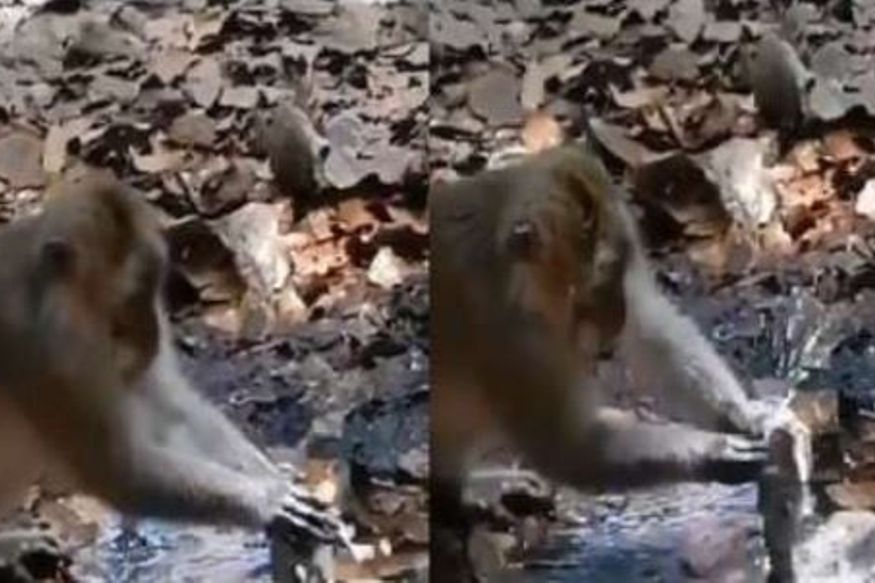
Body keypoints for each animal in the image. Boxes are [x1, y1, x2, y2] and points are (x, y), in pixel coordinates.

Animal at [0, 171, 350, 555]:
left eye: (150, 294)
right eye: (120, 309)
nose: (149, 340)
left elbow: (169, 403)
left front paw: (273, 477)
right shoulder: (44, 351)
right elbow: (118, 470)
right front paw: (268, 502)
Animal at [431, 145, 770, 579]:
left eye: (619, 277)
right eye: (594, 287)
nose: (610, 328)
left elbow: (647, 325)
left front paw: (739, 413)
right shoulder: (503, 331)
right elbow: (567, 446)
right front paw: (712, 451)